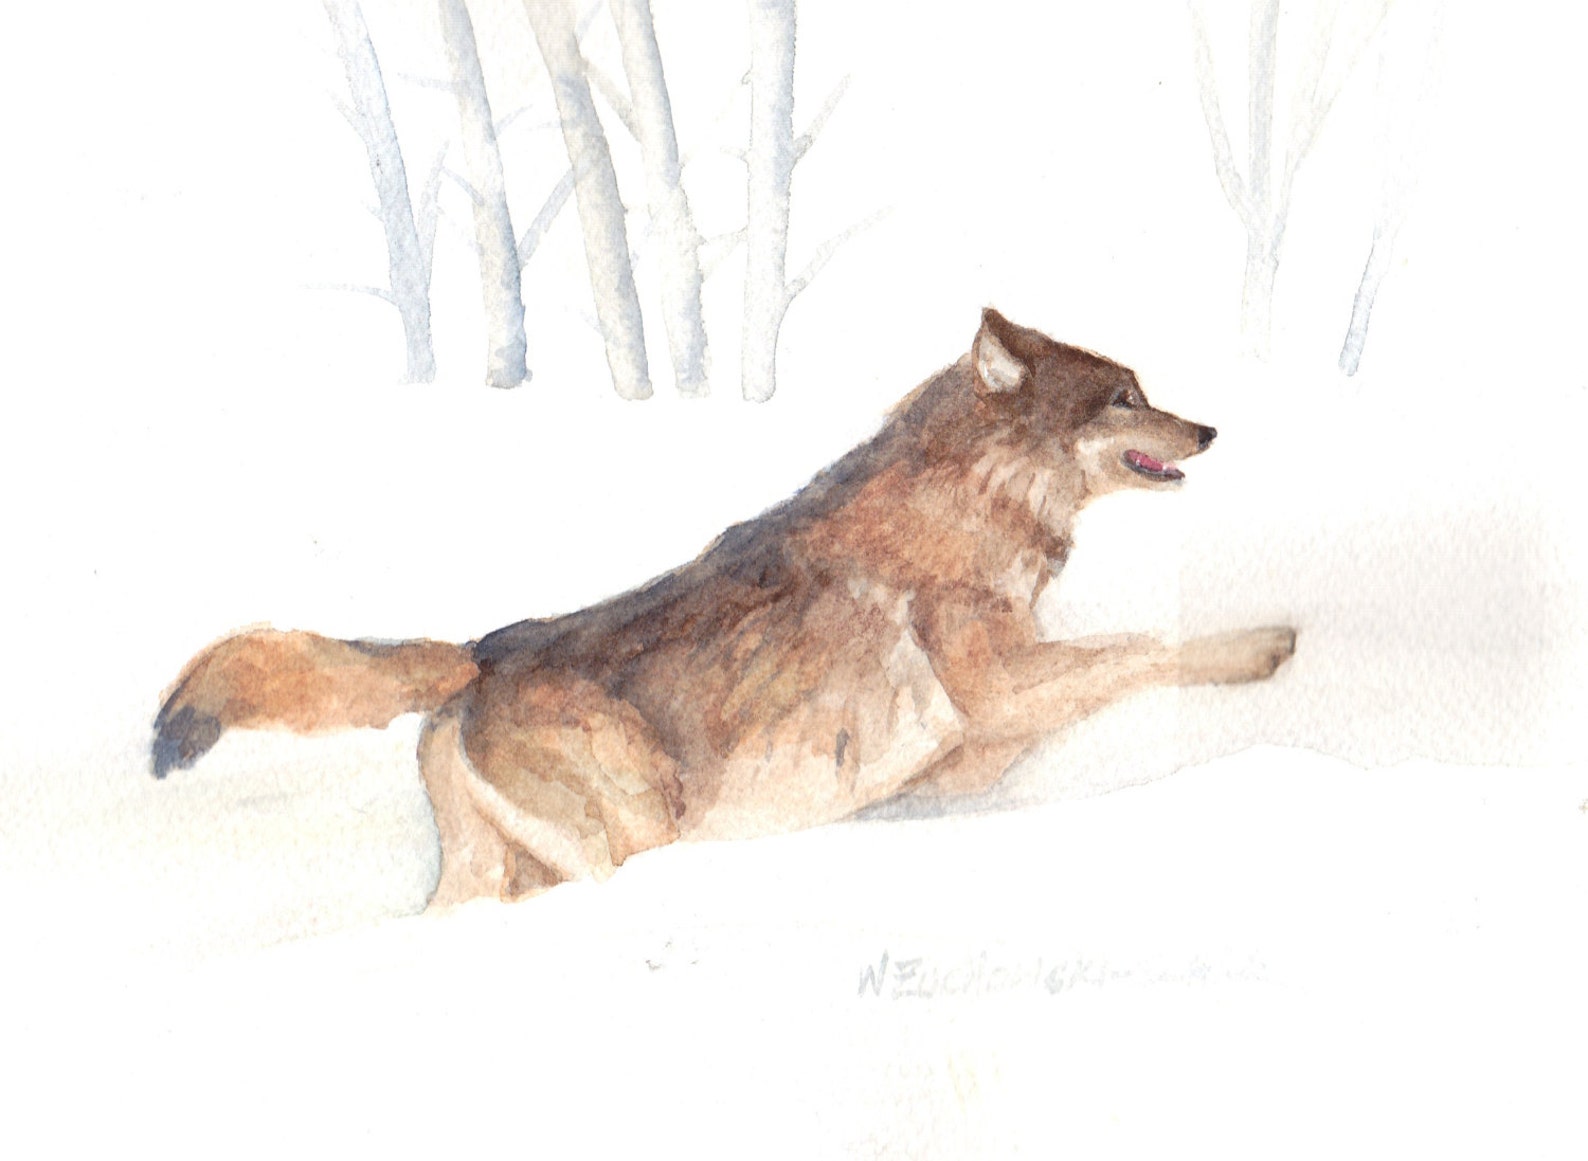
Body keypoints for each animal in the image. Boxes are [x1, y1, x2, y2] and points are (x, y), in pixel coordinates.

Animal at [153, 309, 1296, 908]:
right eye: (1125, 396)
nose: (1210, 430)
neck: (976, 505)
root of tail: (483, 651)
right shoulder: (1000, 687)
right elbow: (1142, 647)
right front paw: (1263, 648)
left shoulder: (970, 750)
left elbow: (1107, 671)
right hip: (635, 836)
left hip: (490, 872)